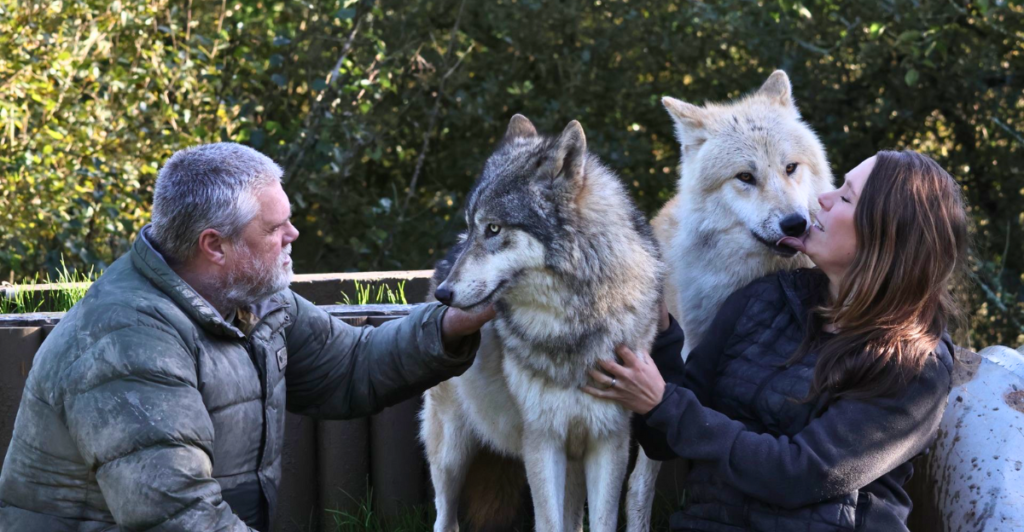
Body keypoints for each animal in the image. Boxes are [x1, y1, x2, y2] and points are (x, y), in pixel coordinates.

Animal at [420, 115, 664, 532]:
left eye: (494, 229)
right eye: (473, 226)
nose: (444, 295)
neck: (572, 323)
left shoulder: (608, 440)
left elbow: (599, 521)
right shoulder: (542, 440)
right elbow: (548, 522)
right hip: (451, 451)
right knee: (444, 518)